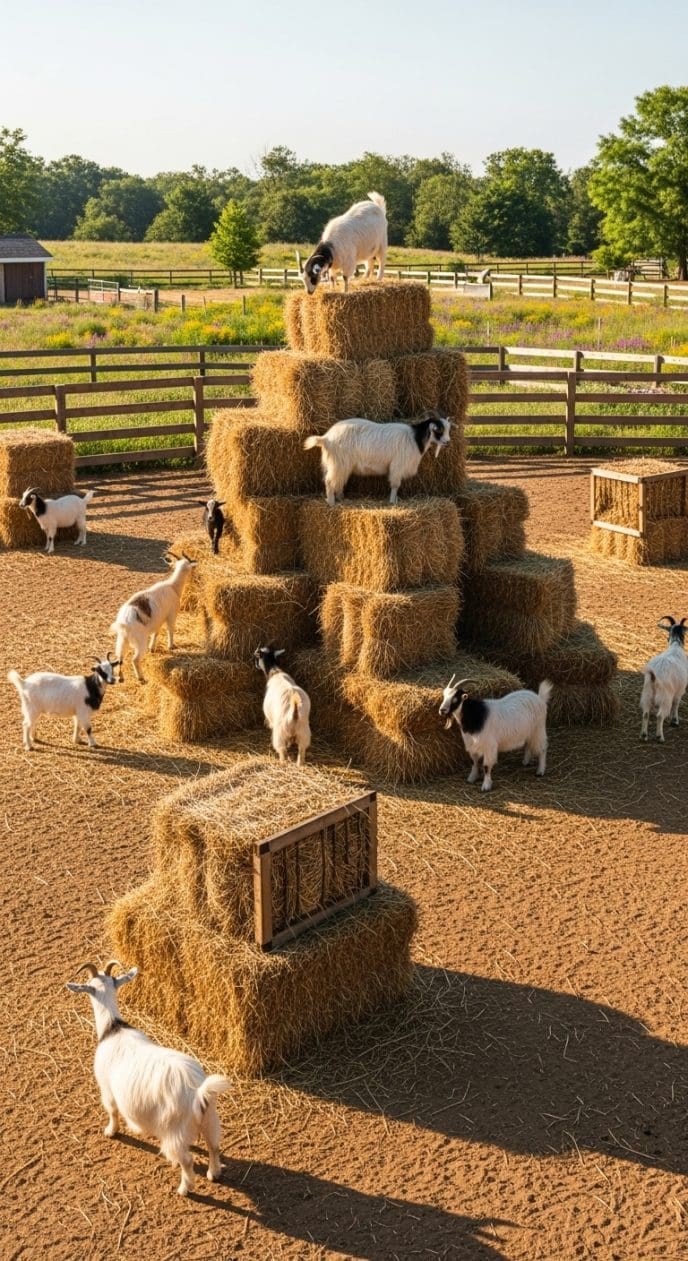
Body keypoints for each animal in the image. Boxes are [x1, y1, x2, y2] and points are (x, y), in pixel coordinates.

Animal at [66, 961, 231, 1195]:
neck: (113, 1028)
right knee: (214, 1146)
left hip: (174, 1128)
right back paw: (213, 1174)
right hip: (209, 1118)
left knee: (187, 1160)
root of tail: (198, 1092)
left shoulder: (107, 1089)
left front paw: (110, 1131)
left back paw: (184, 1189)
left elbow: (112, 1111)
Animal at [110, 552, 197, 682]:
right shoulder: (171, 615)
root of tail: (124, 622)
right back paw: (141, 678)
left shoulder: (158, 620)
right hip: (140, 641)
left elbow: (155, 633)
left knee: (119, 657)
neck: (173, 586)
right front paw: (171, 646)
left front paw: (152, 648)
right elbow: (170, 630)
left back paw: (120, 677)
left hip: (122, 640)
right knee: (135, 659)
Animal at [304, 412, 452, 506]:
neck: (414, 438)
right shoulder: (397, 466)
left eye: (448, 430)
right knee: (330, 482)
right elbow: (395, 485)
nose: (448, 442)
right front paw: (392, 502)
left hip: (340, 464)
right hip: (339, 463)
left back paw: (341, 498)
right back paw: (331, 503)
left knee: (339, 481)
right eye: (438, 430)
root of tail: (326, 438)